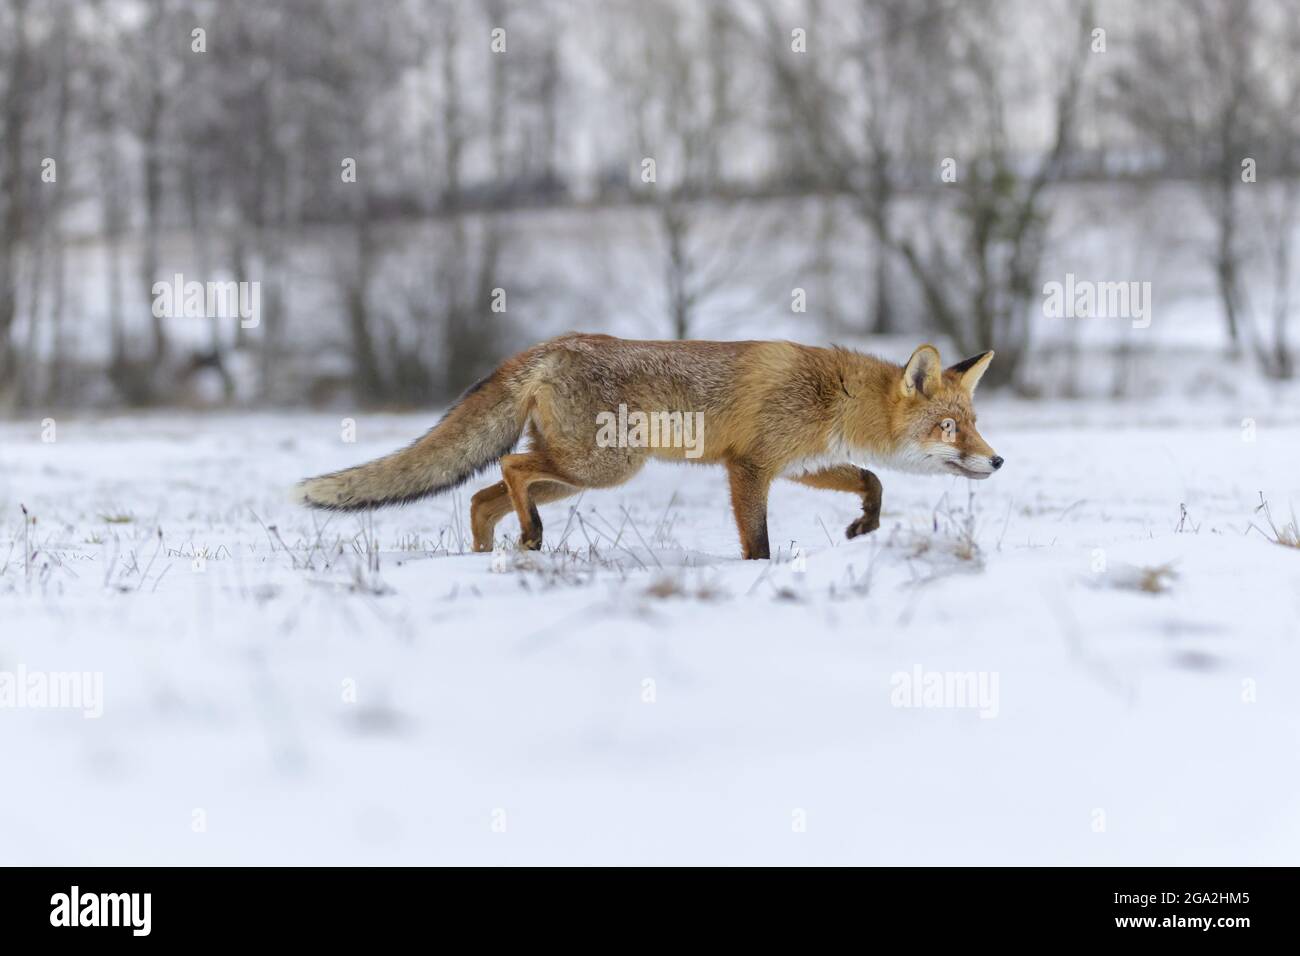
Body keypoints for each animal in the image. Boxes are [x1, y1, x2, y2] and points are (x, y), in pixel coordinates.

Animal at [296, 334, 1003, 559]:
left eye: (971, 421)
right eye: (950, 427)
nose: (997, 459)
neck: (835, 396)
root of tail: (550, 345)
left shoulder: (799, 462)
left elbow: (872, 480)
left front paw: (866, 525)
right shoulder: (750, 466)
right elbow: (758, 542)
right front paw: (759, 576)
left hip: (579, 477)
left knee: (480, 499)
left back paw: (493, 555)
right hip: (600, 467)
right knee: (508, 465)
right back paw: (530, 537)